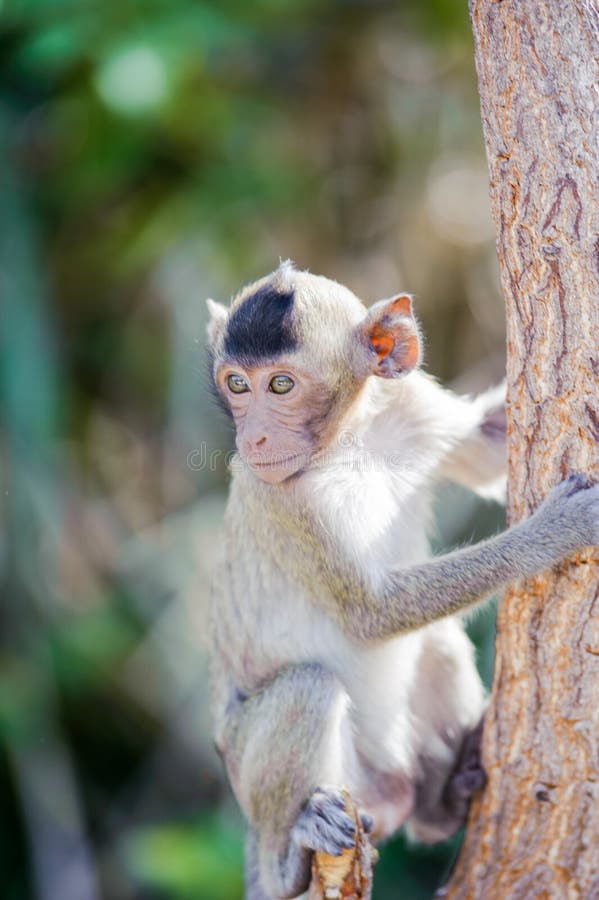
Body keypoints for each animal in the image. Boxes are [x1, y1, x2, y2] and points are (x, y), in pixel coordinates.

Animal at [205, 260, 599, 900]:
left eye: (280, 386)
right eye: (237, 384)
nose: (253, 438)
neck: (350, 440)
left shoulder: (410, 404)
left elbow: (487, 451)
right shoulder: (284, 502)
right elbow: (373, 612)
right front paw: (558, 530)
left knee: (435, 644)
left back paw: (439, 806)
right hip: (252, 770)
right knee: (309, 686)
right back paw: (289, 854)